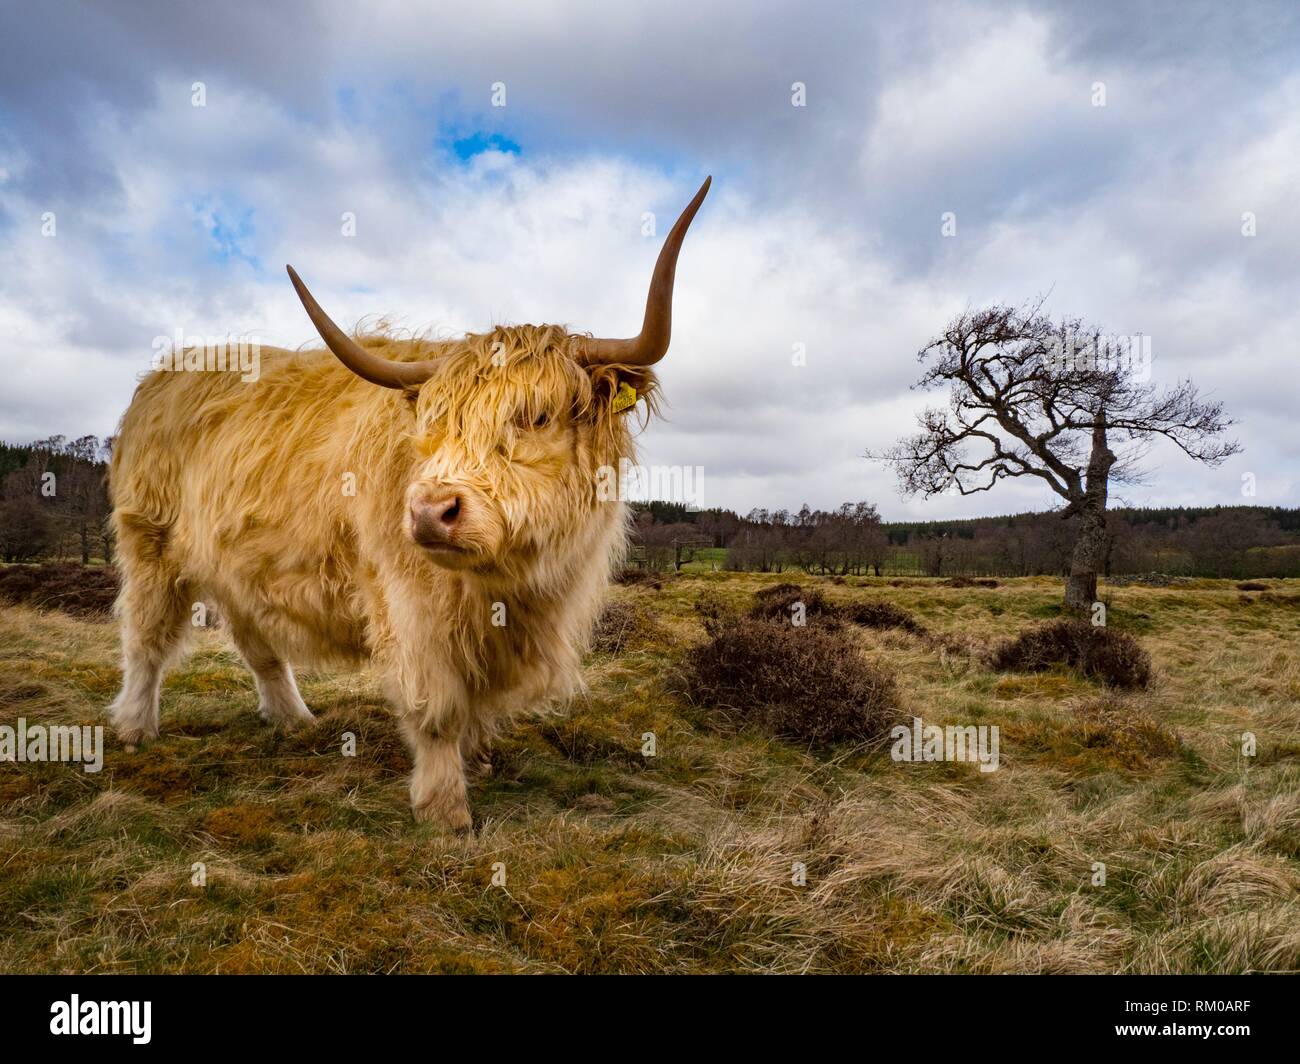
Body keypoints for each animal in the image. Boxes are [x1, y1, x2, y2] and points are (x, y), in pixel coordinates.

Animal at [107, 177, 710, 831]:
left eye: (537, 416)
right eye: (435, 421)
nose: (429, 511)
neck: (506, 589)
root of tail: (168, 371)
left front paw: (480, 759)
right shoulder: (410, 607)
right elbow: (436, 709)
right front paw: (444, 806)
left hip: (236, 560)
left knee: (256, 640)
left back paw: (293, 720)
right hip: (150, 544)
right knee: (146, 638)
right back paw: (135, 728)